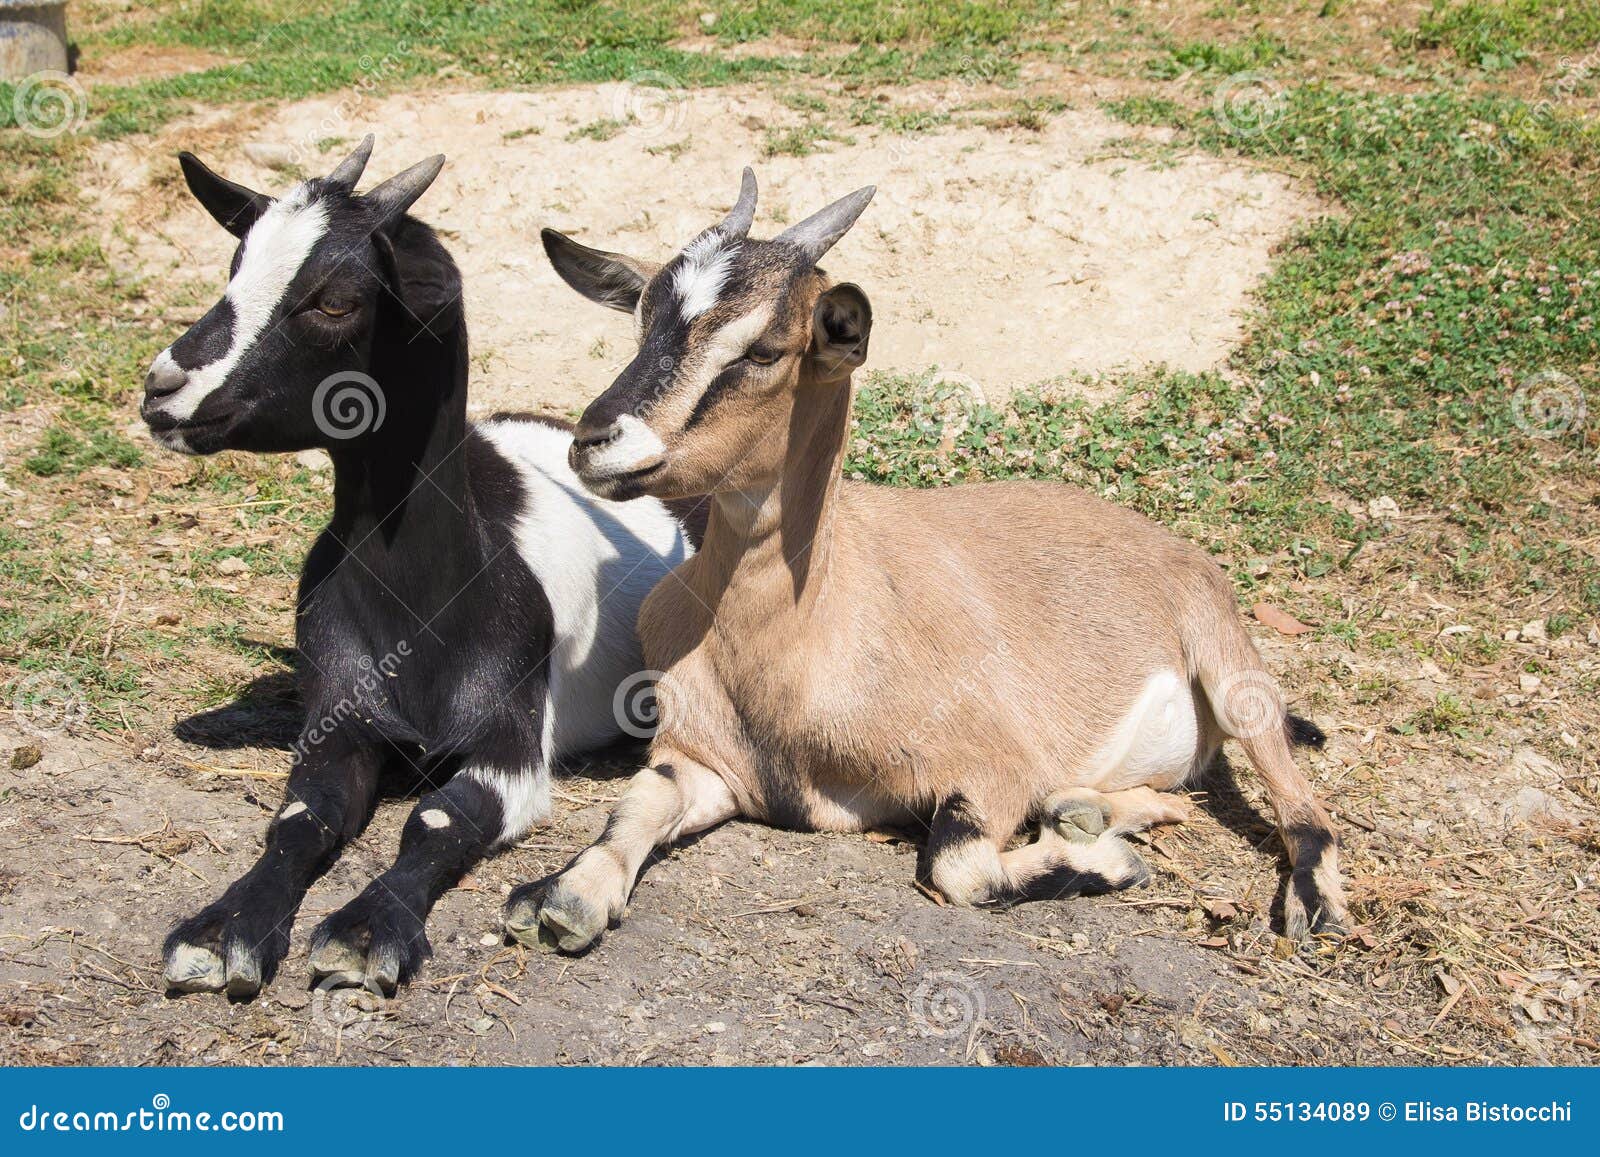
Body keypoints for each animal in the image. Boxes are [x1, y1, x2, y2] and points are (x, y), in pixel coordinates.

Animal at [141, 138, 696, 996]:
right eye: (235, 266)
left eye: (335, 300)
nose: (163, 390)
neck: (430, 607)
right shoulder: (337, 719)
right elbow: (301, 818)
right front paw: (220, 928)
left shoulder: (511, 747)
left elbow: (437, 817)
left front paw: (364, 932)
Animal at [508, 169, 1350, 954]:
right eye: (642, 319)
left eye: (765, 349)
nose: (594, 440)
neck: (794, 636)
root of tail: (1163, 543)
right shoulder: (705, 764)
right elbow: (634, 807)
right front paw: (558, 895)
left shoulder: (993, 765)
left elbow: (959, 865)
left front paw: (1114, 864)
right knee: (1167, 794)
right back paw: (1095, 809)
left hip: (1233, 673)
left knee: (1304, 806)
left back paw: (1313, 908)